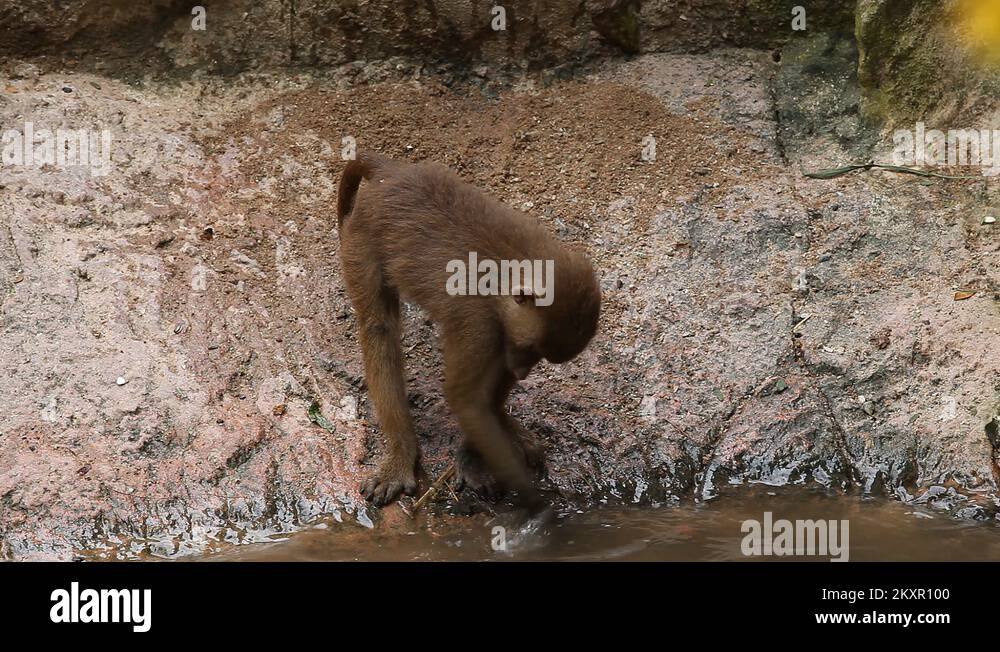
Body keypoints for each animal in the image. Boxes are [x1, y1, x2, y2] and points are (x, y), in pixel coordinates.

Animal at [336, 151, 600, 510]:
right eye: (532, 349)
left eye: (539, 357)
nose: (525, 370)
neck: (509, 274)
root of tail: (396, 173)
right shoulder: (480, 326)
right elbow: (466, 398)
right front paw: (535, 504)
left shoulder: (502, 335)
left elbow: (486, 393)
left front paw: (476, 455)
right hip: (364, 231)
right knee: (379, 327)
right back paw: (402, 453)